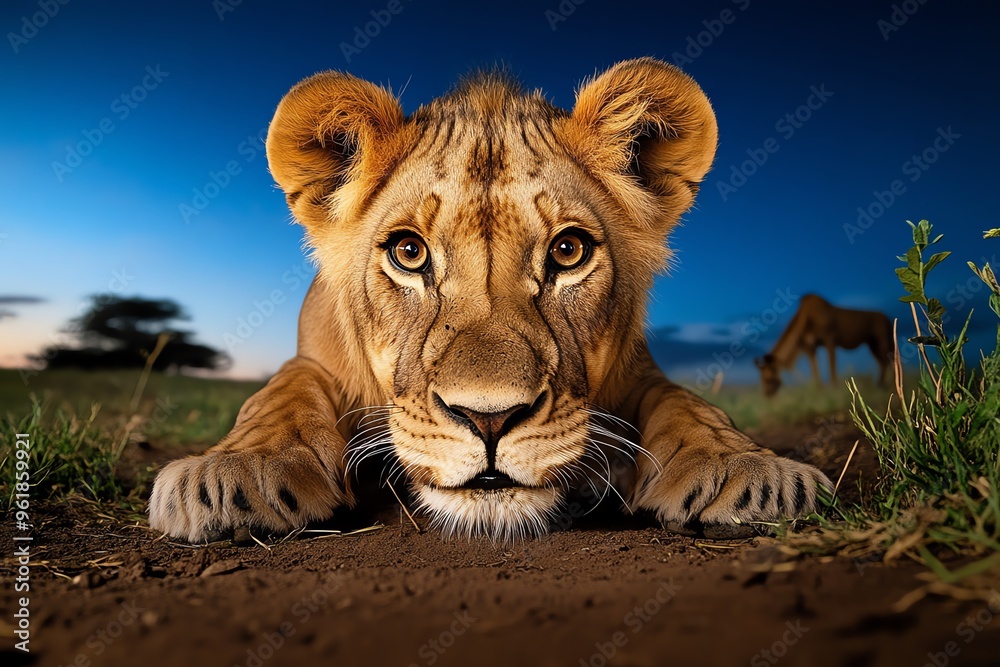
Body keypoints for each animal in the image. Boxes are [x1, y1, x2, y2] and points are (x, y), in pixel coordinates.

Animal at [148, 58, 832, 543]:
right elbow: (281, 391)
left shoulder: (638, 371)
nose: (490, 421)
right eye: (409, 253)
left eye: (568, 252)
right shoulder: (312, 356)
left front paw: (742, 469)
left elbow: (684, 401)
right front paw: (238, 471)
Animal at [754, 294, 894, 397]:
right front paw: (819, 391)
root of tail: (888, 319)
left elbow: (831, 365)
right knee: (883, 363)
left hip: (883, 341)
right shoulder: (810, 348)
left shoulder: (829, 339)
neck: (806, 319)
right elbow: (815, 370)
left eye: (767, 378)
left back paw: (887, 386)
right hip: (872, 345)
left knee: (889, 360)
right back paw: (882, 386)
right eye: (760, 378)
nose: (766, 395)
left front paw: (834, 389)